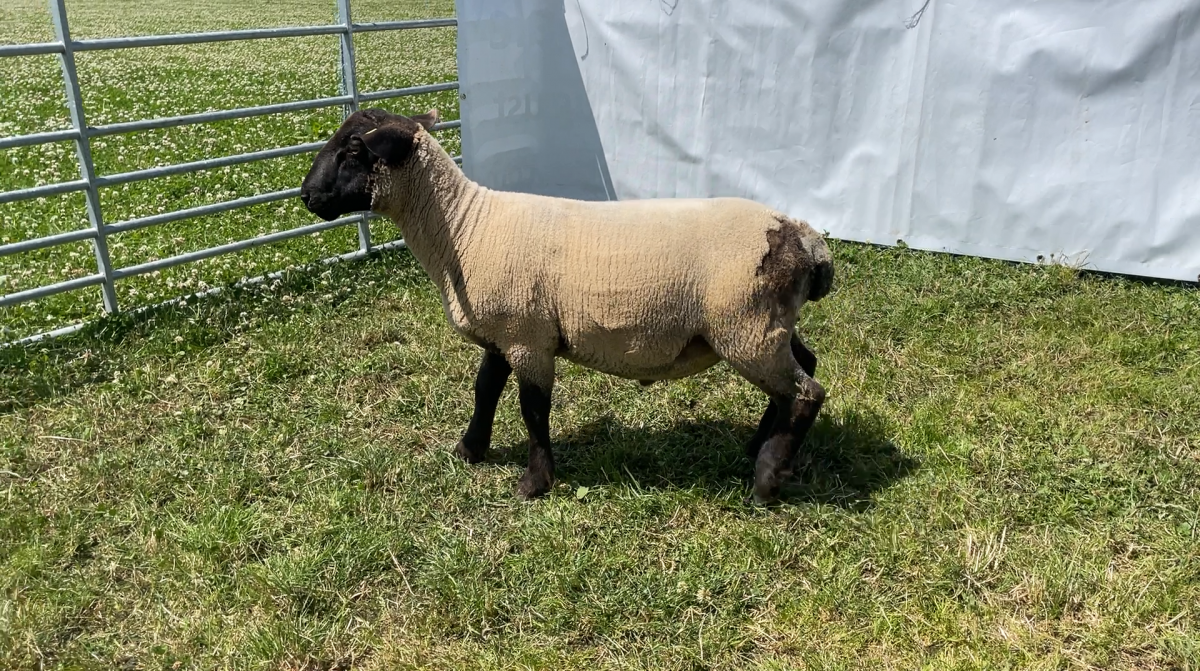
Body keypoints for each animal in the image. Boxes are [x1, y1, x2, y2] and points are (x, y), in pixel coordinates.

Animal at [300, 108, 835, 505]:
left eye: (354, 148)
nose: (307, 195)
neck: (464, 227)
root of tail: (807, 240)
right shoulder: (502, 334)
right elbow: (484, 391)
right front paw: (468, 450)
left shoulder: (528, 338)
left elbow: (533, 410)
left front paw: (534, 483)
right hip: (766, 325)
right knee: (801, 370)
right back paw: (759, 447)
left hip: (745, 327)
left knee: (806, 393)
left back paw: (766, 481)